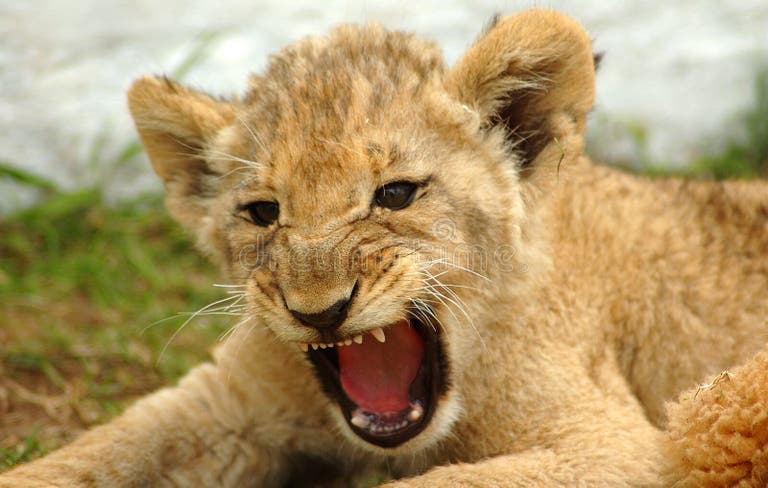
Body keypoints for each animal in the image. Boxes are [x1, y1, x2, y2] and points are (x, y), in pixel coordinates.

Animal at [2, 9, 767, 487]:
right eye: (262, 213)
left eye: (395, 195)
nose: (318, 310)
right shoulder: (219, 407)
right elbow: (91, 454)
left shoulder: (617, 445)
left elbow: (438, 485)